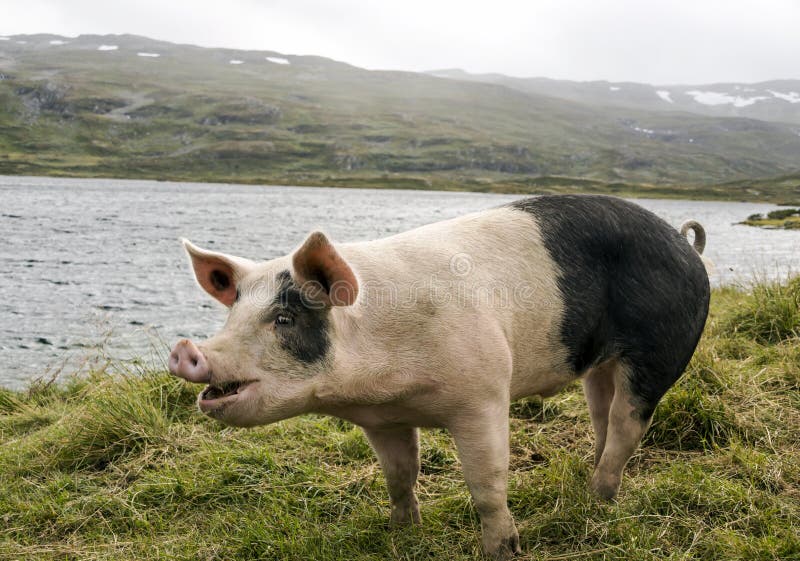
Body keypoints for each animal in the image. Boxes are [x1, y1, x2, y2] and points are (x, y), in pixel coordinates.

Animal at [169, 194, 710, 560]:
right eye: (232, 315)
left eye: (284, 318)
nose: (186, 349)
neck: (387, 384)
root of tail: (685, 245)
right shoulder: (383, 419)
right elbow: (399, 474)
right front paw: (402, 531)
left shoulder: (484, 394)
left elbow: (486, 481)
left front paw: (502, 550)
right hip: (599, 363)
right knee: (601, 415)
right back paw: (588, 488)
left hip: (659, 352)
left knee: (626, 423)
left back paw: (599, 497)